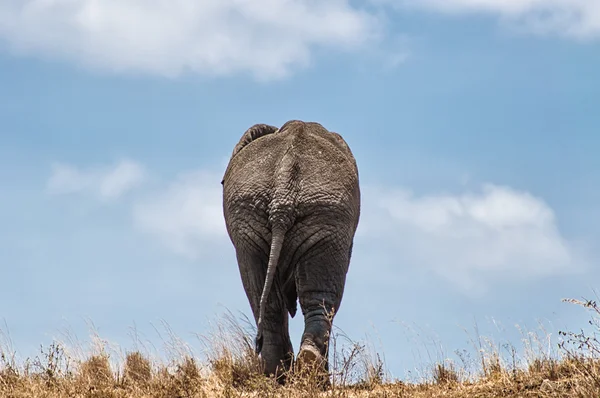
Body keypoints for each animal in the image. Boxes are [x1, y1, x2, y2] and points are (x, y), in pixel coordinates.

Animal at [221, 119, 358, 380]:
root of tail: (283, 195)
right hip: (320, 215)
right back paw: (301, 374)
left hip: (293, 215)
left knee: (266, 294)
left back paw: (283, 373)